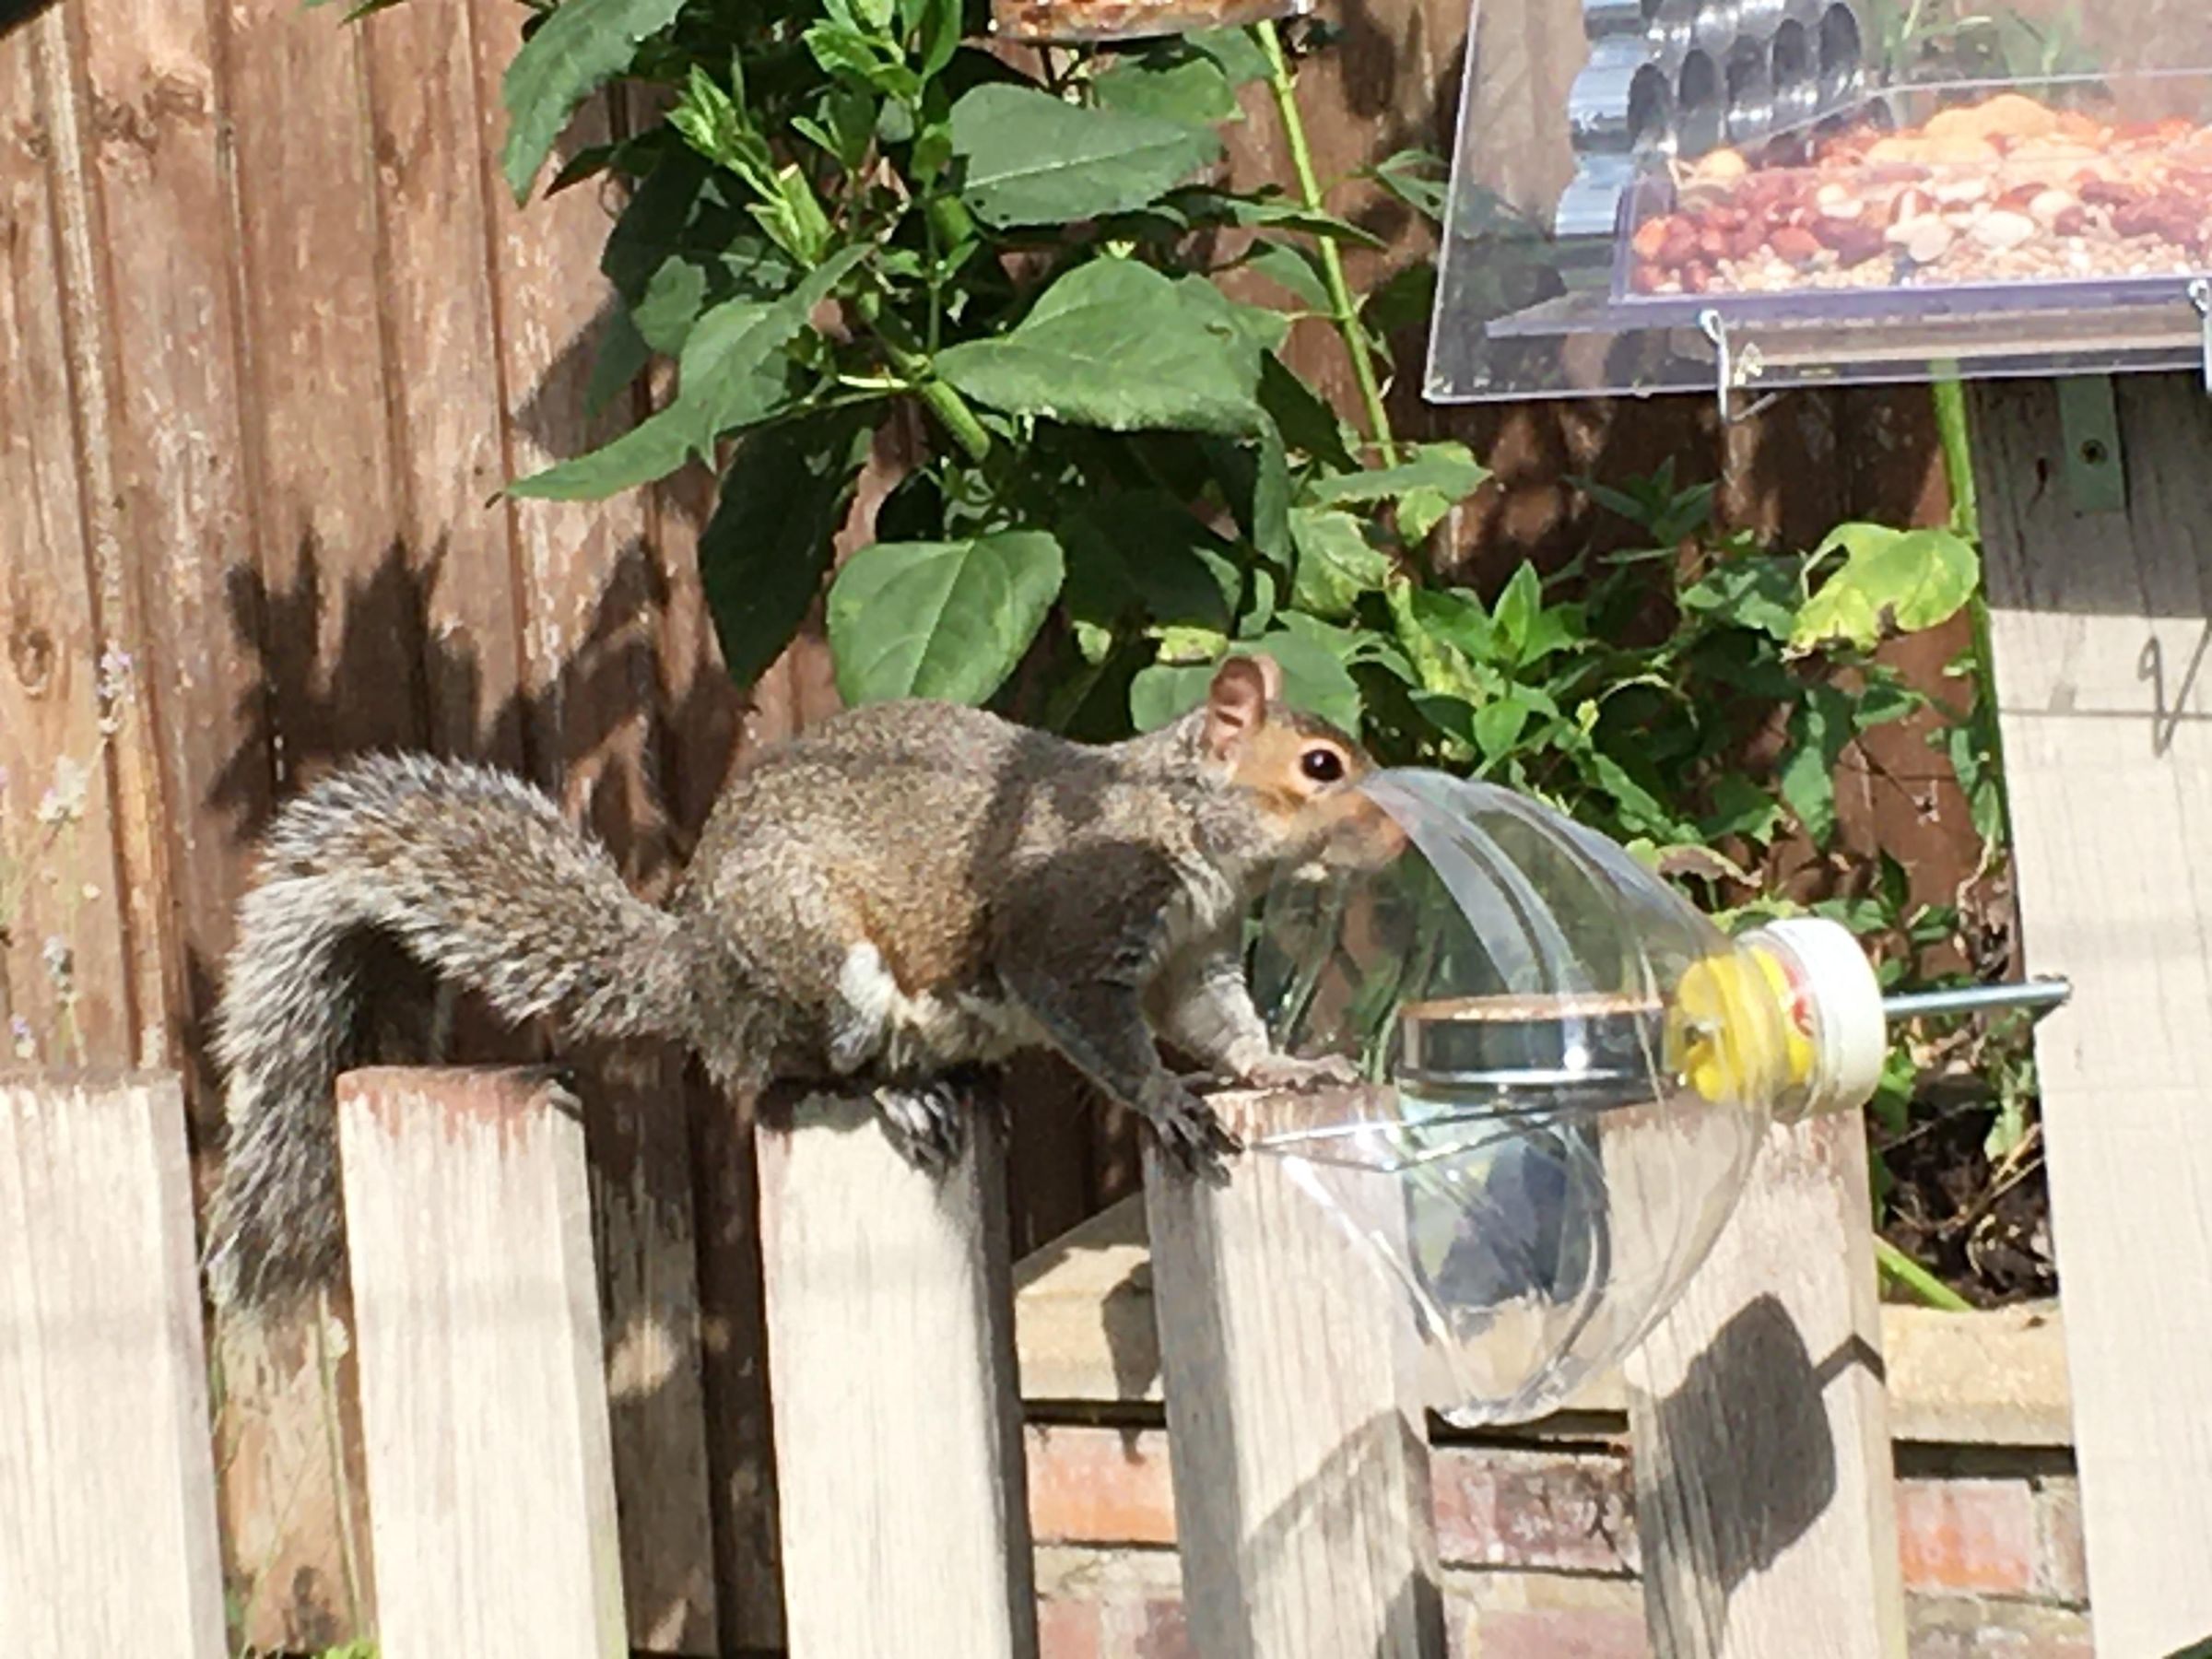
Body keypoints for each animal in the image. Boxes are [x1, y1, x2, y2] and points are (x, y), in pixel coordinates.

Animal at [204, 652, 1400, 1306]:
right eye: (1320, 768)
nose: (1397, 836)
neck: (1180, 821)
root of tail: (696, 972)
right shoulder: (1068, 927)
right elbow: (1099, 1029)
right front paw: (1162, 1098)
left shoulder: (1192, 953)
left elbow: (1222, 1025)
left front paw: (1291, 1068)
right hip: (821, 972)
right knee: (787, 1080)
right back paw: (896, 1094)